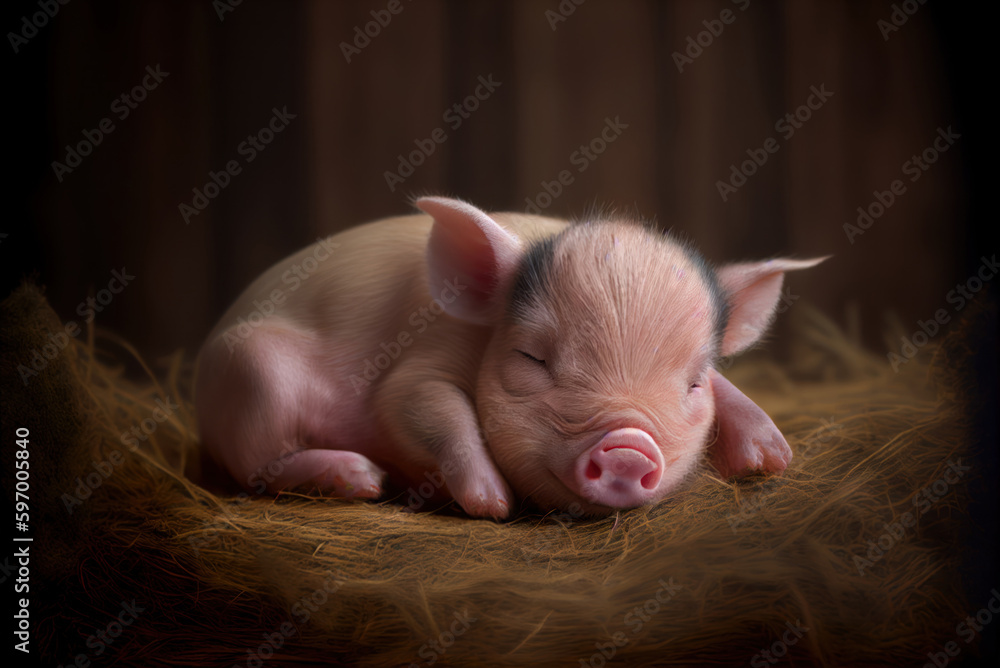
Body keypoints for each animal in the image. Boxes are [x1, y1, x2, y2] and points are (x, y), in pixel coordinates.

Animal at [194, 196, 826, 519]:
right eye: (532, 358)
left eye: (692, 383)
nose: (628, 446)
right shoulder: (418, 361)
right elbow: (424, 405)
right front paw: (493, 504)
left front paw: (772, 460)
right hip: (254, 374)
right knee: (257, 469)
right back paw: (363, 479)